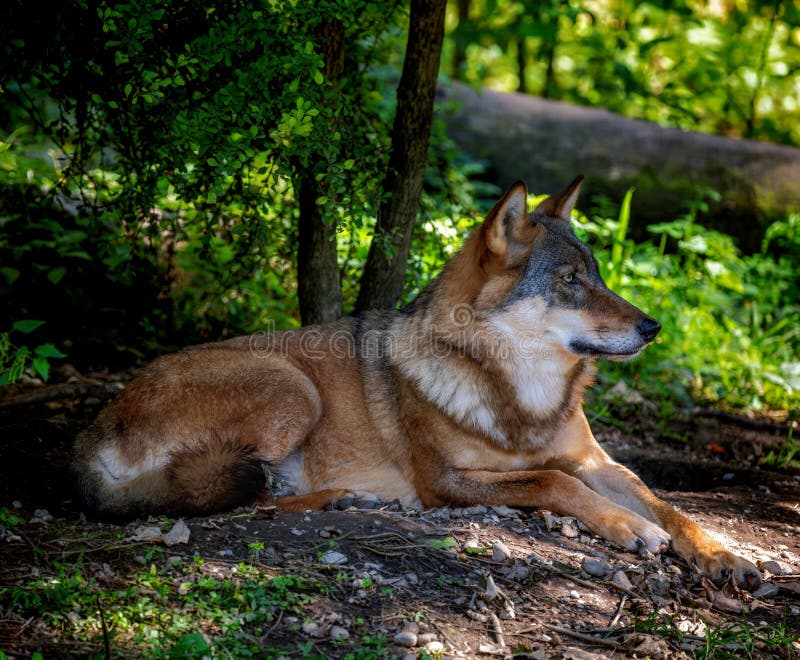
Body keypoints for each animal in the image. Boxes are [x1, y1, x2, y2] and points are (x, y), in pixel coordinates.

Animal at [74, 177, 761, 590]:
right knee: (244, 495)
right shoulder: (448, 480)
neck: (523, 400)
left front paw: (724, 554)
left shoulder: (598, 462)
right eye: (569, 281)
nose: (653, 327)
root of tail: (90, 434)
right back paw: (351, 499)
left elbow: (667, 505)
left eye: (597, 275)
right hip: (295, 388)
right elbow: (552, 481)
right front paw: (628, 529)